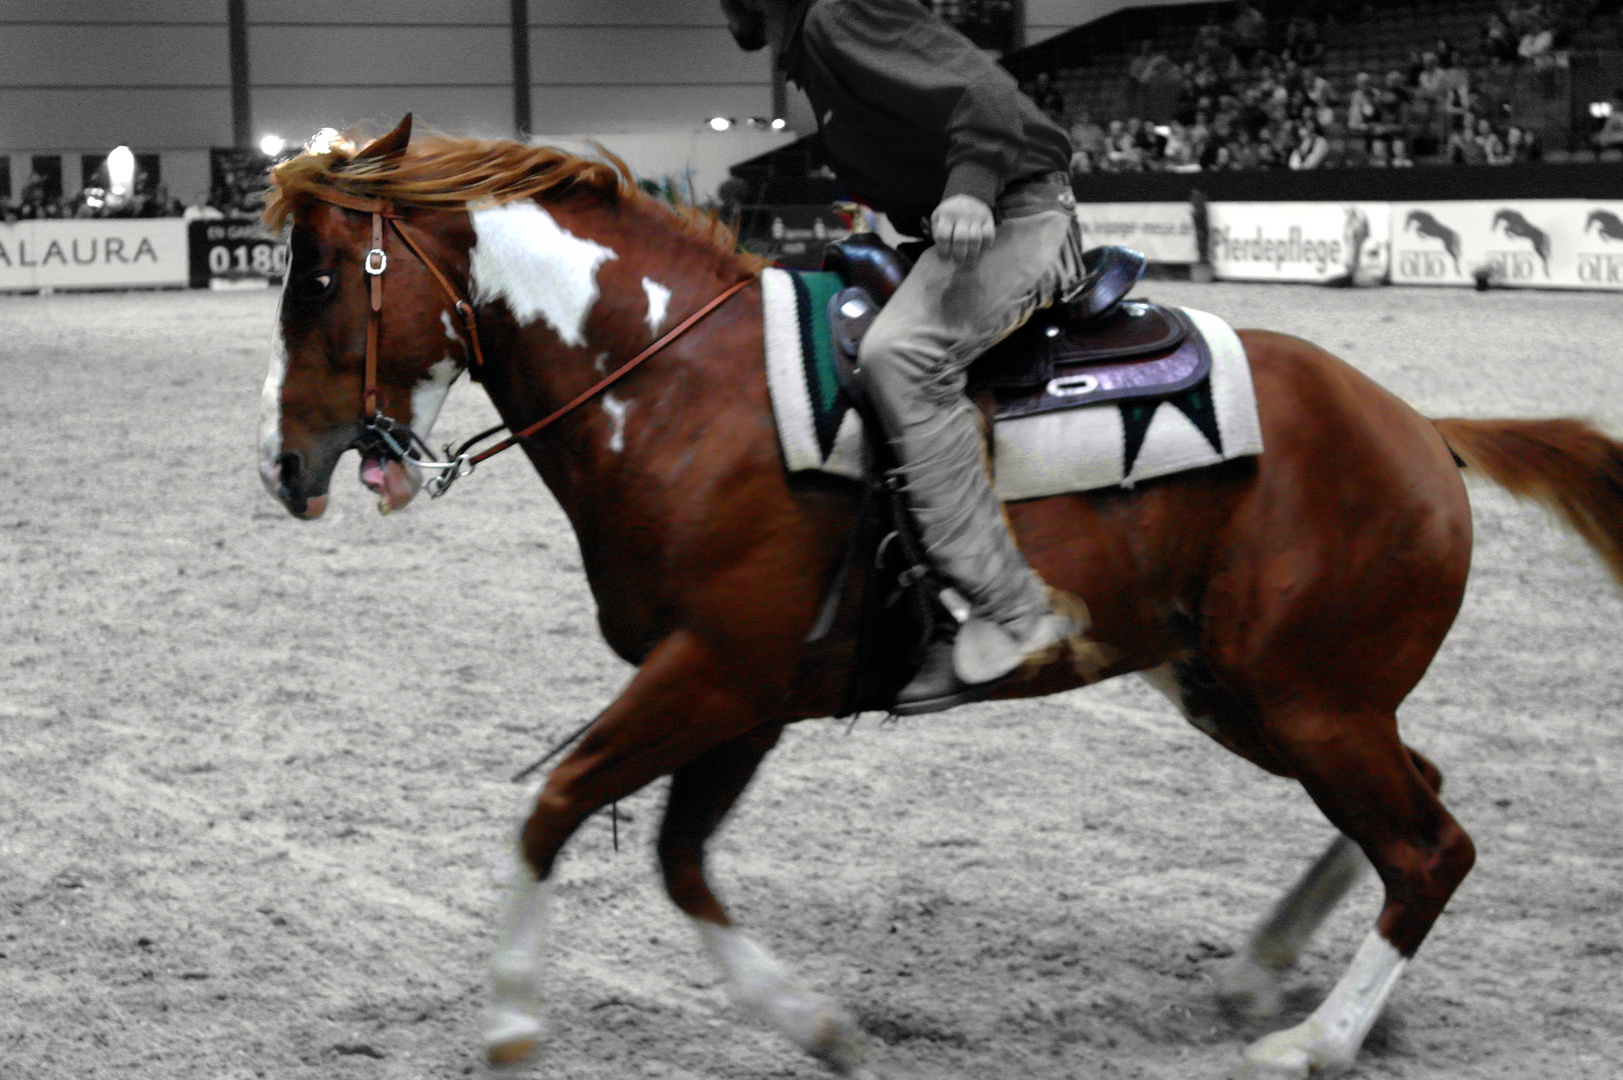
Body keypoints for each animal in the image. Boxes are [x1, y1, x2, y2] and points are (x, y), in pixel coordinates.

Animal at [258, 116, 1623, 1078]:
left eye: (317, 278)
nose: (282, 467)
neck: (680, 389)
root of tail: (1423, 430)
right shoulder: (744, 698)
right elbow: (681, 860)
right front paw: (814, 1024)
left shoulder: (714, 673)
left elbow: (556, 808)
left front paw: (508, 1024)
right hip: (1250, 692)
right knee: (1407, 816)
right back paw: (1270, 974)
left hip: (1311, 701)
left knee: (1431, 849)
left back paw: (1313, 1040)